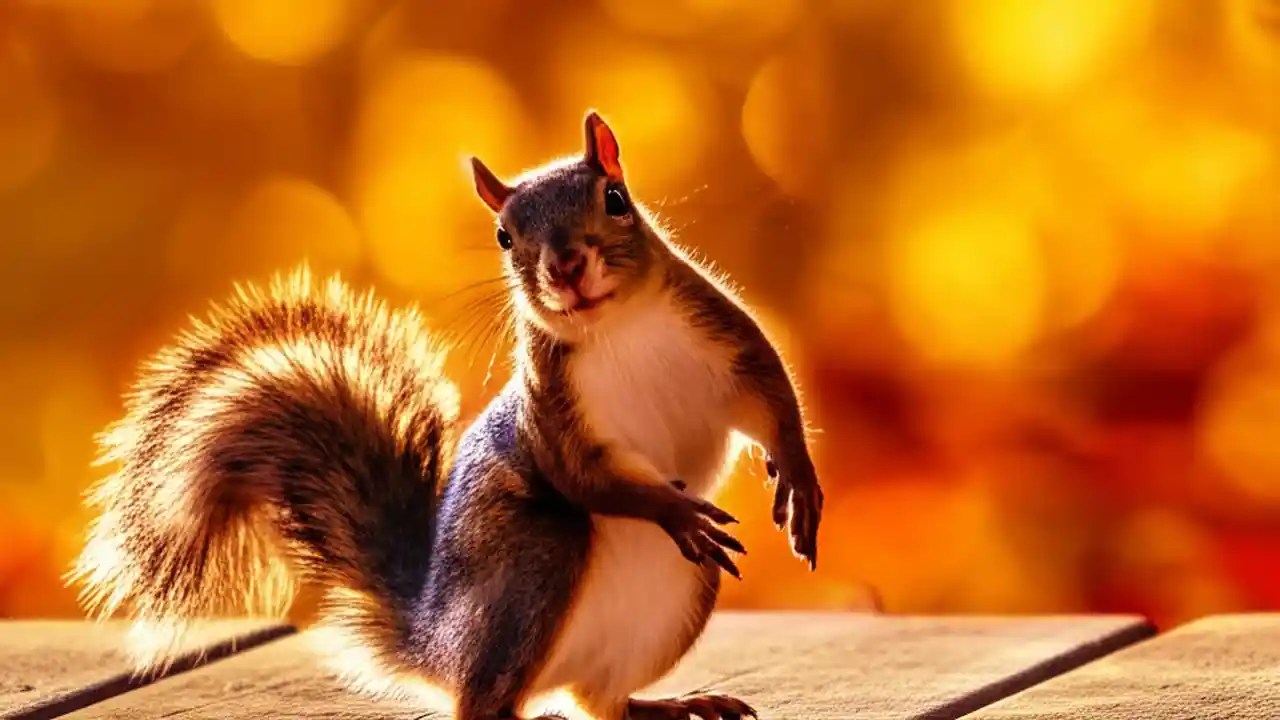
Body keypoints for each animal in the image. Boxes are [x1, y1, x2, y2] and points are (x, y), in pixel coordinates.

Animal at [70, 111, 824, 720]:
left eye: (615, 199)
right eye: (504, 237)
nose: (567, 266)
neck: (618, 329)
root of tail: (433, 641)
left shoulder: (729, 340)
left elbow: (775, 404)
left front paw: (798, 484)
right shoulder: (553, 416)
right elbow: (583, 477)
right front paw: (672, 511)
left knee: (599, 700)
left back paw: (668, 705)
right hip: (539, 559)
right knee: (489, 698)